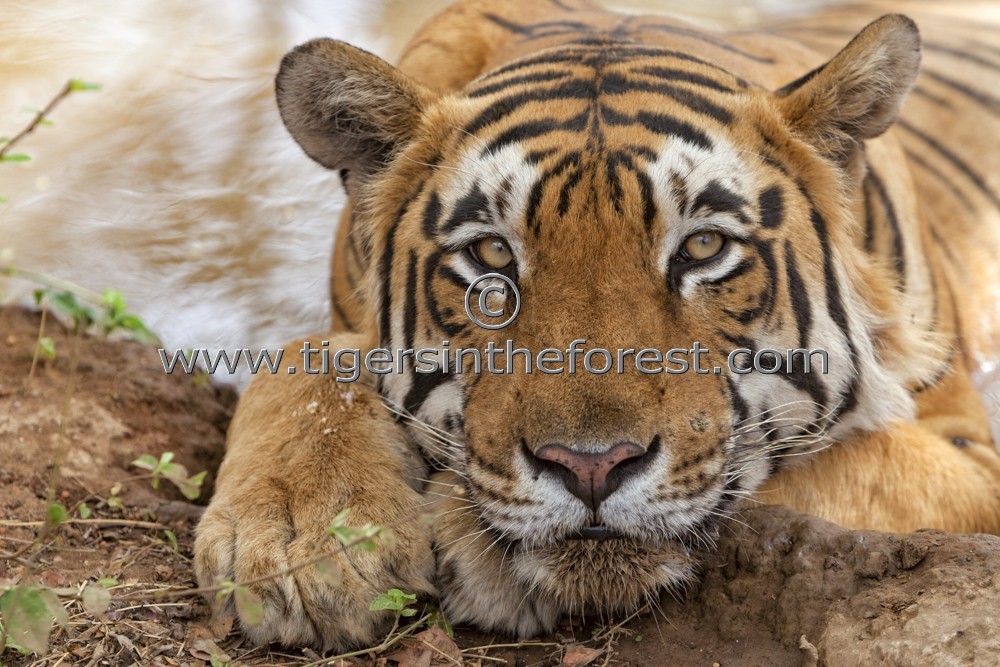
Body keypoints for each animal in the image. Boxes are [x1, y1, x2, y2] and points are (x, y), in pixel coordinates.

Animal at [193, 0, 1000, 650]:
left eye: (703, 247)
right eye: (491, 255)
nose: (590, 467)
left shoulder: (970, 454)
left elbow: (833, 466)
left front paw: (463, 542)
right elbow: (305, 357)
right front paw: (301, 541)